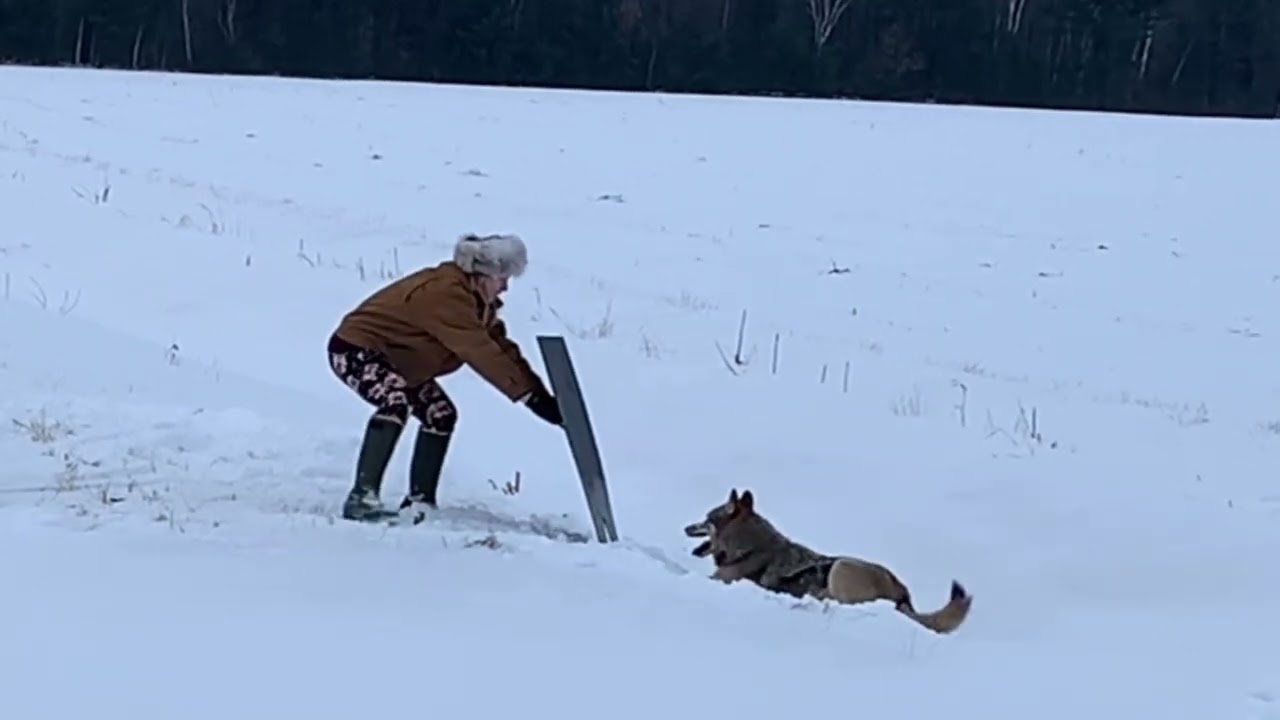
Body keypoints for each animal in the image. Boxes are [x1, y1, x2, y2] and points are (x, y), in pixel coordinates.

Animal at [684, 488, 972, 634]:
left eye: (706, 520)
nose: (686, 527)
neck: (749, 545)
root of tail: (902, 592)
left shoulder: (723, 580)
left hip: (840, 567)